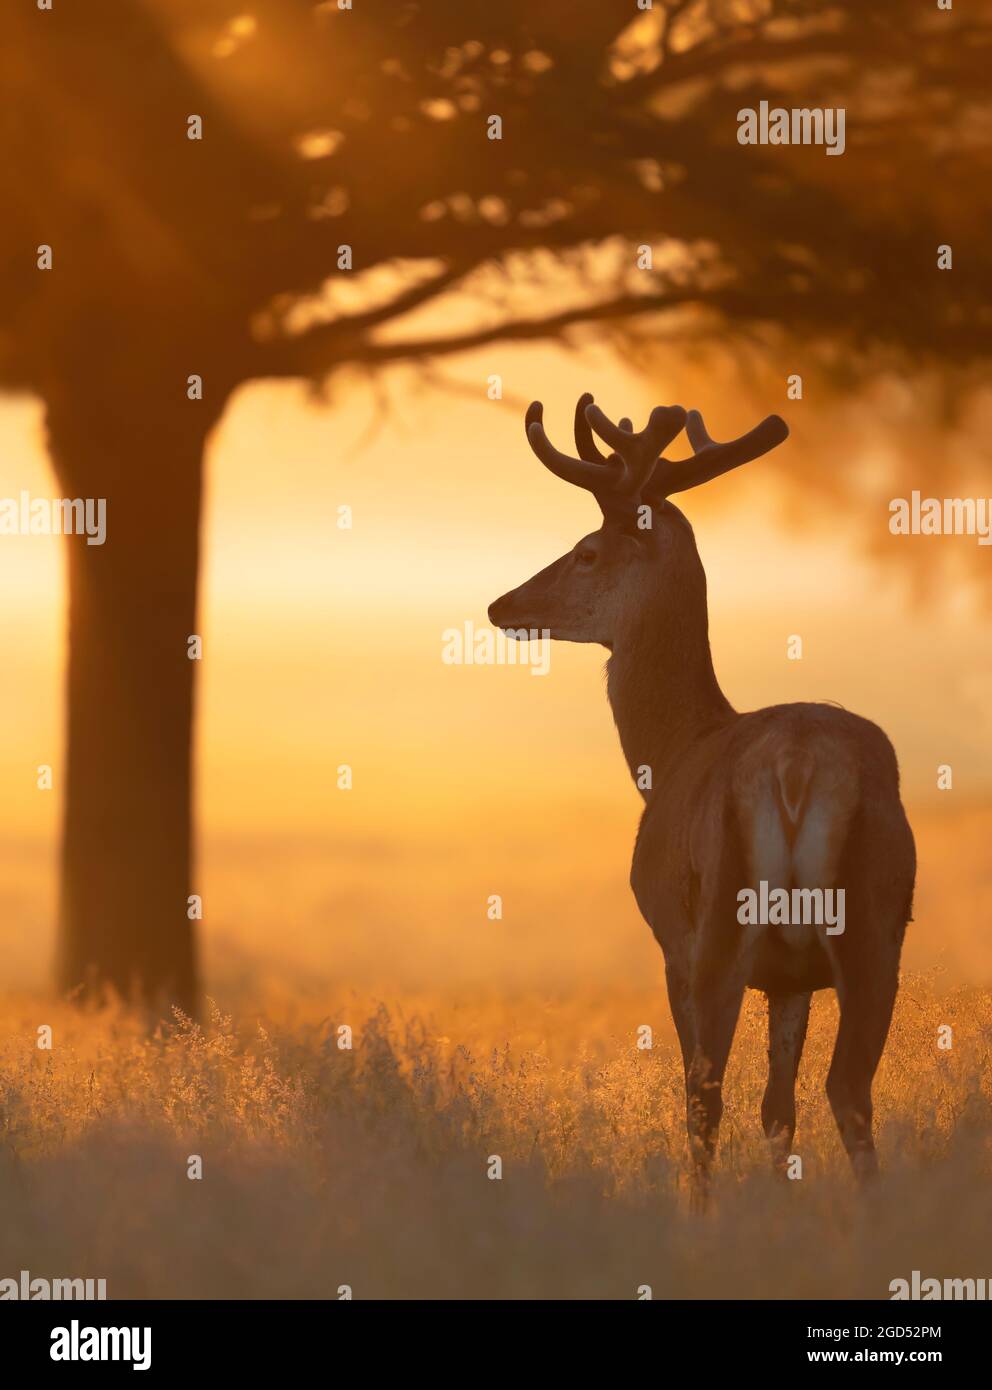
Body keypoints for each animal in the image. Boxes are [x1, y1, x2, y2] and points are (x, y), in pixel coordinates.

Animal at [488, 394, 916, 1208]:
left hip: (720, 920)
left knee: (709, 1096)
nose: (503, 605)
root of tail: (798, 765)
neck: (673, 748)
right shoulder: (791, 979)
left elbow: (711, 1095)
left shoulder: (668, 940)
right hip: (878, 926)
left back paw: (701, 1218)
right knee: (848, 1092)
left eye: (587, 550)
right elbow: (778, 1109)